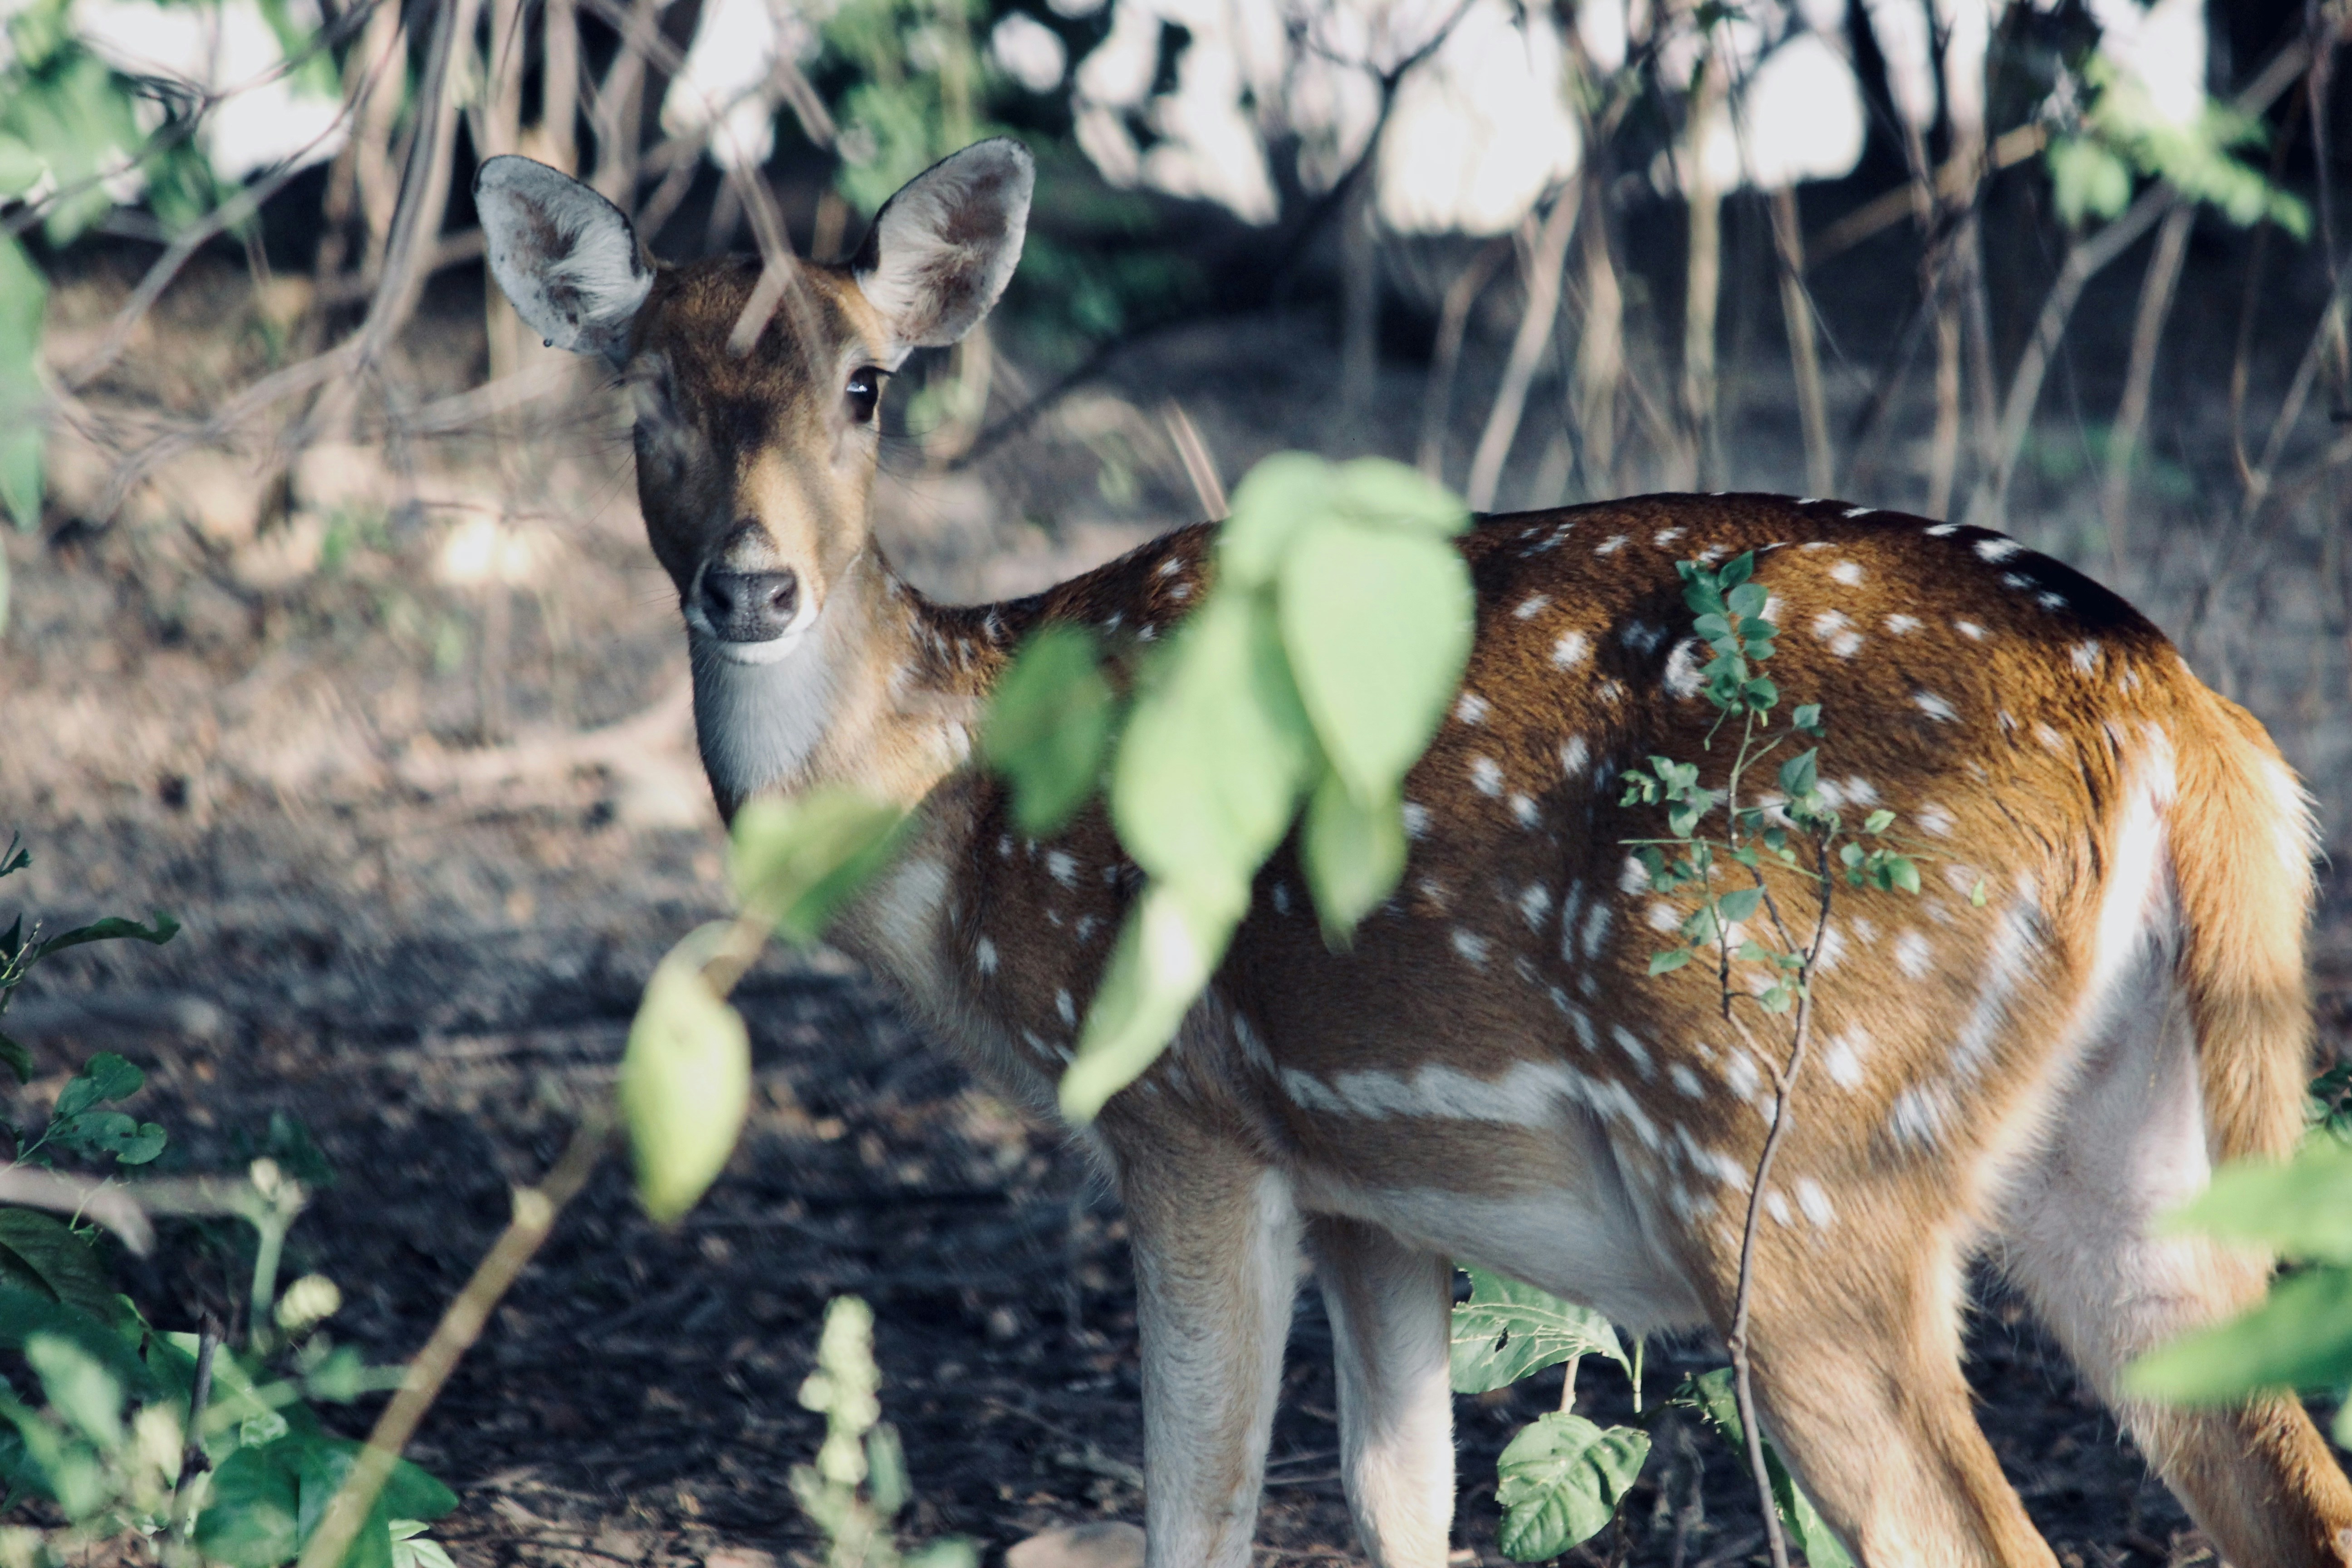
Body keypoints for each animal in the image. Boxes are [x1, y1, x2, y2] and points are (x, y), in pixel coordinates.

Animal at [475, 138, 2352, 1567]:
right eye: (644, 400)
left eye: (866, 386)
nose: (752, 583)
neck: (962, 813)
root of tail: (2180, 720)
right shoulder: (1371, 1180)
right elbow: (1402, 1510)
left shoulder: (1187, 1106)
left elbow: (1202, 1518)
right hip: (2130, 1157)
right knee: (2288, 1489)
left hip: (1795, 1146)